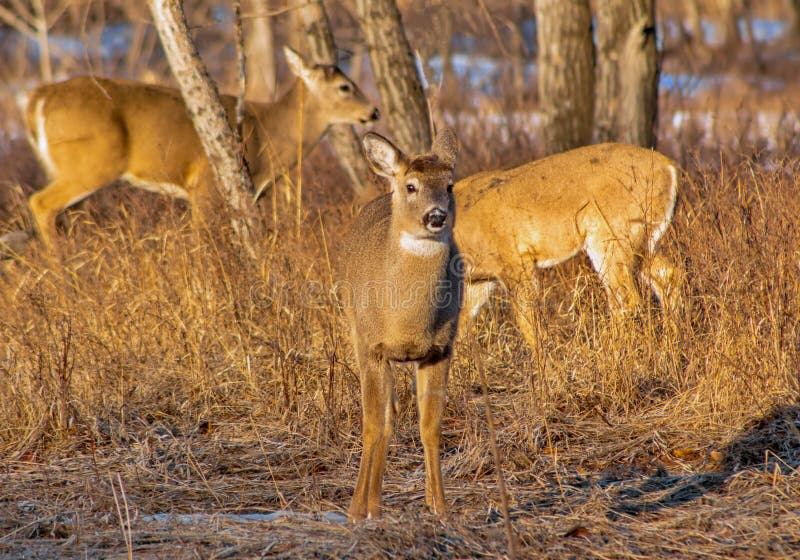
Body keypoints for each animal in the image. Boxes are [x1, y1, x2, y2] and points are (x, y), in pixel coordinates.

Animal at [19, 46, 379, 247]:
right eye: (345, 87)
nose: (374, 111)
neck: (267, 134)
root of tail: (38, 97)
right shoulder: (204, 186)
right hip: (92, 162)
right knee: (40, 203)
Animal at [338, 128, 460, 520]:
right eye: (411, 186)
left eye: (449, 185)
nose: (436, 216)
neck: (405, 321)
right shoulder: (371, 347)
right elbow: (372, 425)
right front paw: (355, 511)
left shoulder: (441, 348)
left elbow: (430, 428)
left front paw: (441, 507)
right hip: (355, 329)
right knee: (386, 420)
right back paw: (371, 505)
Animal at [453, 142, 682, 350]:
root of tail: (670, 167)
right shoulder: (479, 280)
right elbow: (460, 330)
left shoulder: (514, 259)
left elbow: (530, 324)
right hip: (642, 241)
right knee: (668, 275)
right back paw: (671, 345)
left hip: (612, 234)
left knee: (626, 298)